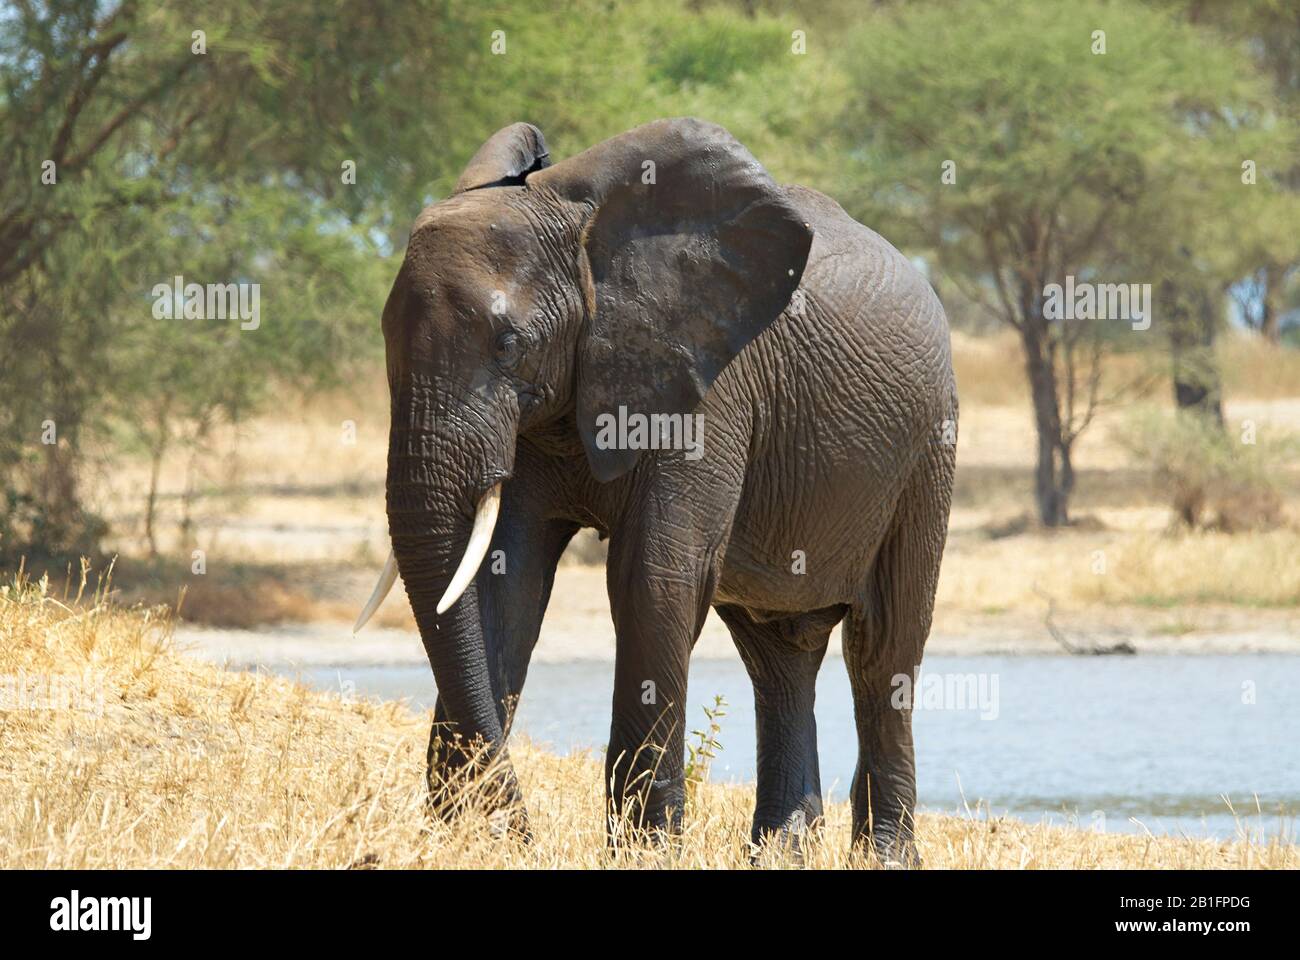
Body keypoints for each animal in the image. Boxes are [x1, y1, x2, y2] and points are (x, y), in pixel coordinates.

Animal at [355, 117, 957, 864]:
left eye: (508, 344)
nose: (520, 831)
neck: (583, 225)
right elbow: (500, 577)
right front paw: (466, 840)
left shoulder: (708, 385)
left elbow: (654, 577)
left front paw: (644, 850)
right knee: (779, 657)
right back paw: (780, 851)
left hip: (928, 449)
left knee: (883, 647)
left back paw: (882, 855)